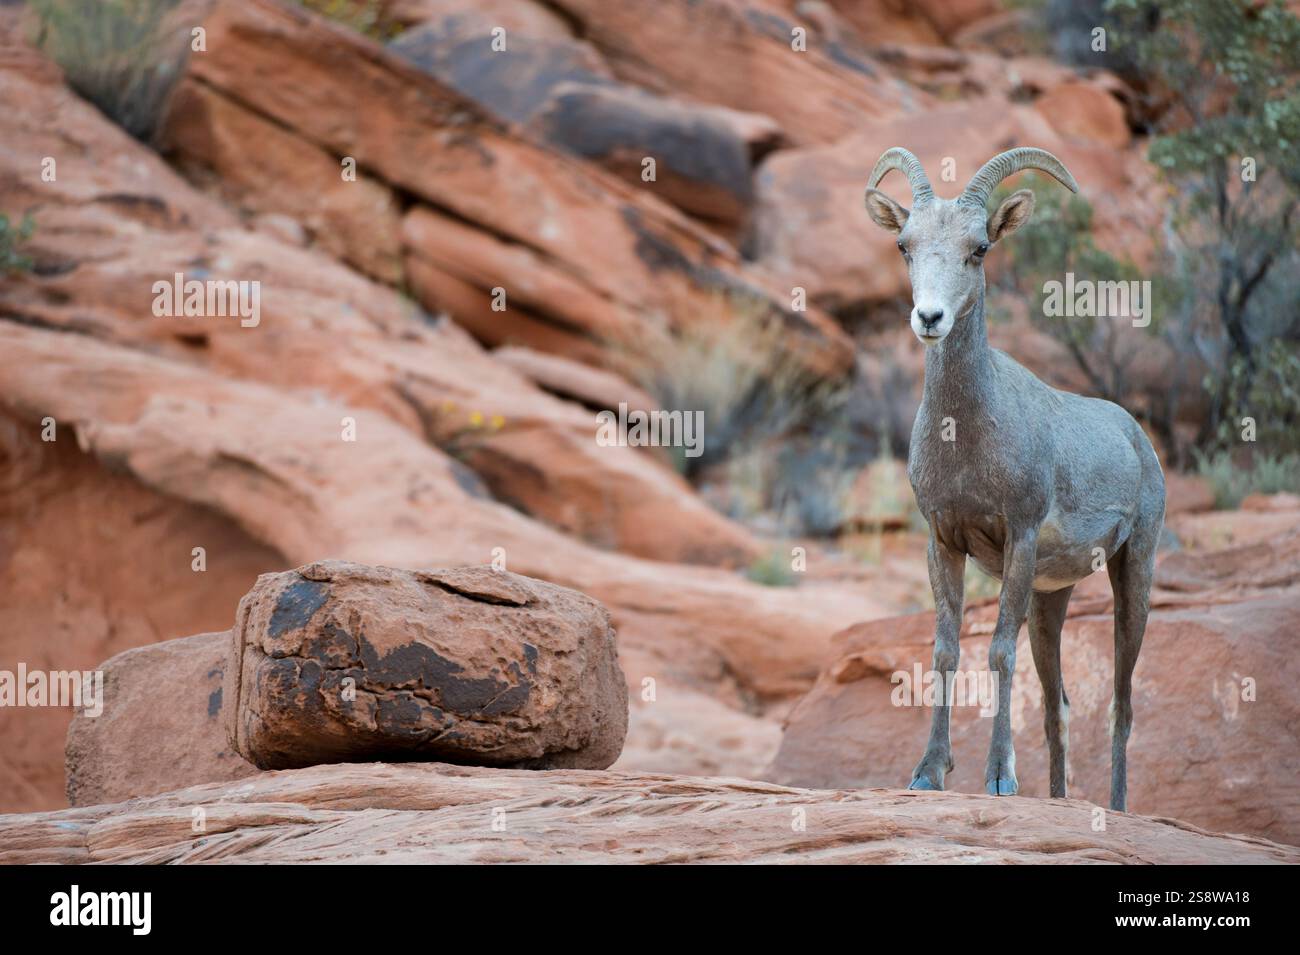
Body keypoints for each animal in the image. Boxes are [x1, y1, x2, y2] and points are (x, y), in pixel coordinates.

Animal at [862, 147, 1165, 810]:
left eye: (979, 248)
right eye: (904, 245)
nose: (930, 317)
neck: (966, 436)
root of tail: (1138, 438)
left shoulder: (1019, 537)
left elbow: (998, 653)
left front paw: (999, 778)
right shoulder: (942, 541)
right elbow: (946, 650)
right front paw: (928, 773)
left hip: (1134, 571)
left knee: (1123, 704)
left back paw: (1115, 807)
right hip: (1051, 601)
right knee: (1058, 708)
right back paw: (1056, 799)